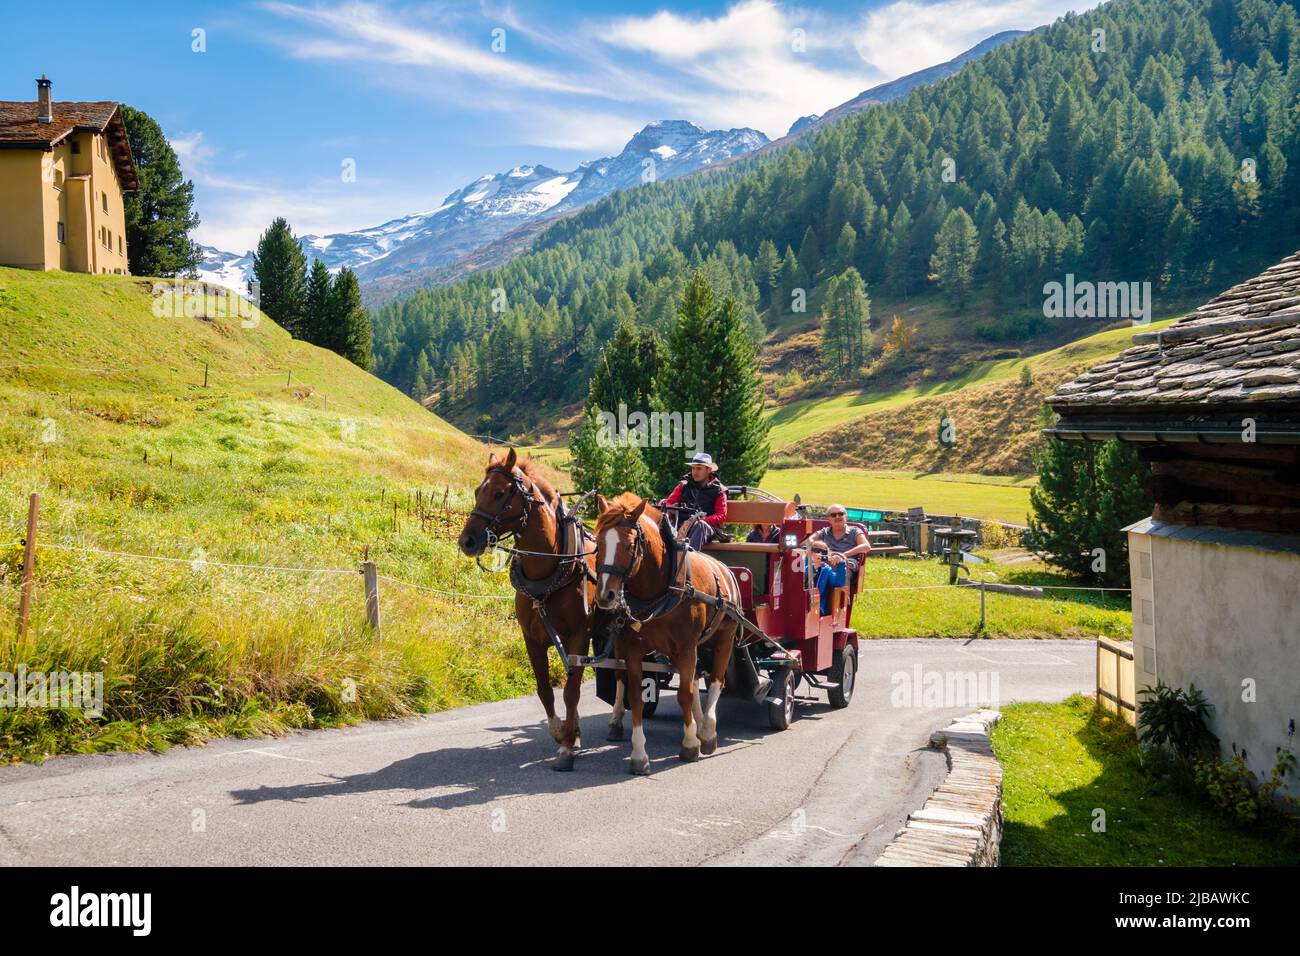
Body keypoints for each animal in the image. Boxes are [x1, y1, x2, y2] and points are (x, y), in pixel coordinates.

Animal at [458, 449, 607, 771]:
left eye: (499, 493)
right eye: (477, 491)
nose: (467, 541)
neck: (550, 571)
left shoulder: (579, 636)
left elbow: (572, 691)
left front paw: (567, 746)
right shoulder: (532, 639)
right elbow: (545, 689)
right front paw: (563, 732)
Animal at [593, 492, 740, 774]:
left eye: (630, 546)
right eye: (598, 543)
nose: (606, 596)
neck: (659, 589)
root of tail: (724, 569)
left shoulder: (686, 647)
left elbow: (685, 694)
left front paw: (690, 745)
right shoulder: (634, 650)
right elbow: (636, 697)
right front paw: (639, 755)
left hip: (724, 636)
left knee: (716, 681)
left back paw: (707, 732)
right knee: (694, 678)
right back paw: (698, 724)